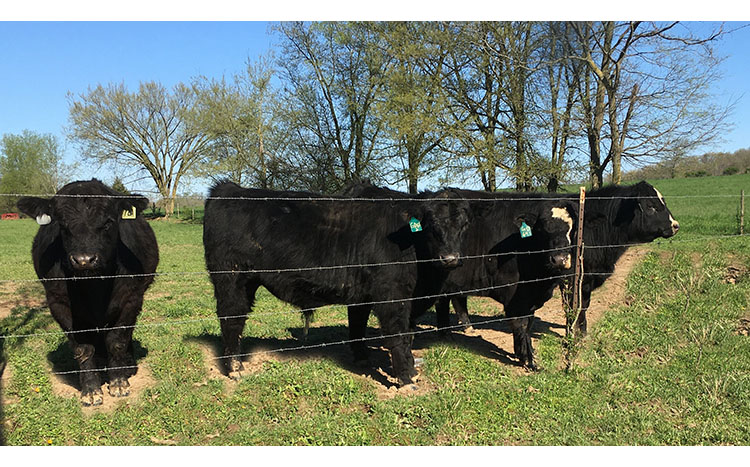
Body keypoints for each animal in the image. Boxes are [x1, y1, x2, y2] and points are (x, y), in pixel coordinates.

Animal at [16, 179, 158, 406]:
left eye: (108, 222)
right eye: (62, 225)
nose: (84, 260)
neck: (95, 287)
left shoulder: (132, 299)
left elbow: (117, 341)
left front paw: (119, 383)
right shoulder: (59, 304)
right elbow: (82, 348)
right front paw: (91, 390)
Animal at [203, 180, 472, 387]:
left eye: (464, 225)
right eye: (431, 224)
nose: (450, 258)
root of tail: (228, 189)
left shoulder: (362, 293)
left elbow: (358, 324)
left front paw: (363, 359)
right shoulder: (392, 295)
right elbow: (398, 334)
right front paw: (406, 377)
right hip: (231, 279)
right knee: (231, 318)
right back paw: (234, 368)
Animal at [340, 183, 579, 371]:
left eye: (572, 230)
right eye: (542, 229)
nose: (560, 259)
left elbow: (528, 324)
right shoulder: (514, 293)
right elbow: (520, 325)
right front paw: (528, 360)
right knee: (357, 312)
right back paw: (361, 355)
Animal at [436, 181, 679, 366]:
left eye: (662, 202)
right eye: (651, 206)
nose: (675, 225)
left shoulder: (585, 279)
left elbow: (583, 306)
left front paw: (581, 334)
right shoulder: (571, 279)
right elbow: (573, 307)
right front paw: (573, 336)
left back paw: (457, 329)